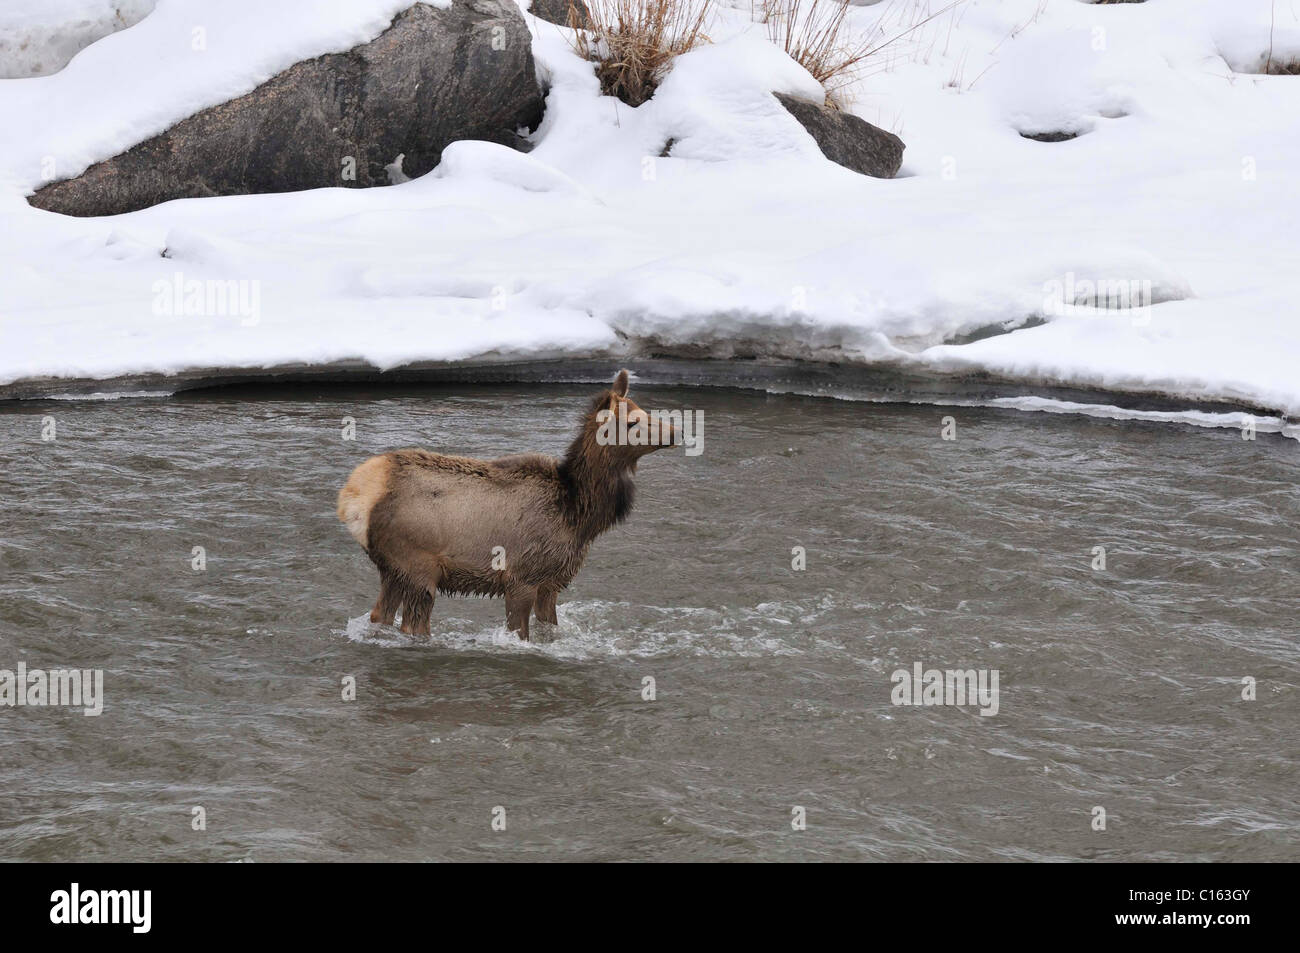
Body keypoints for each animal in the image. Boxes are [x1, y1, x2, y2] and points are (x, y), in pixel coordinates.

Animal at [336, 370, 675, 640]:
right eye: (631, 422)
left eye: (645, 411)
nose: (676, 430)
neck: (578, 515)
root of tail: (352, 498)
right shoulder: (521, 576)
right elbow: (520, 633)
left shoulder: (552, 581)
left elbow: (548, 627)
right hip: (418, 564)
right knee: (413, 624)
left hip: (392, 568)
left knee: (380, 615)